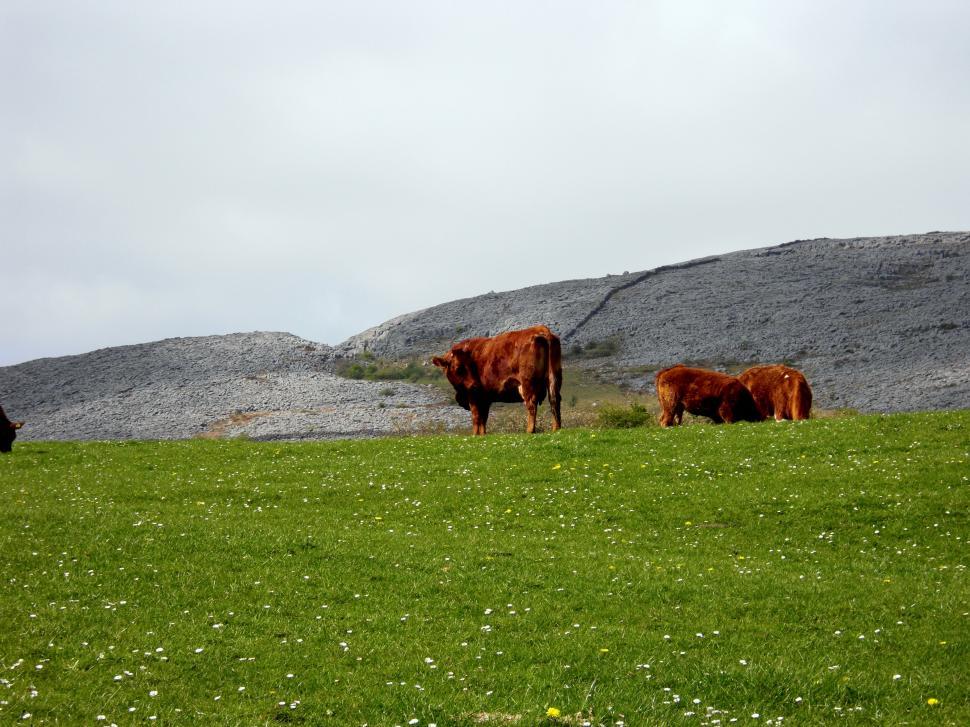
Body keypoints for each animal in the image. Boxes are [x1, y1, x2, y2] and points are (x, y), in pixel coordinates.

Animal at [432, 325, 562, 435]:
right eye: (459, 368)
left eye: (469, 366)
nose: (475, 385)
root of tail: (541, 329)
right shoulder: (485, 398)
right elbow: (483, 418)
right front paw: (482, 434)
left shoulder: (473, 395)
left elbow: (476, 416)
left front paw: (474, 434)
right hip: (554, 378)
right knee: (555, 400)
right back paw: (556, 428)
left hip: (528, 383)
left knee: (531, 404)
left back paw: (530, 430)